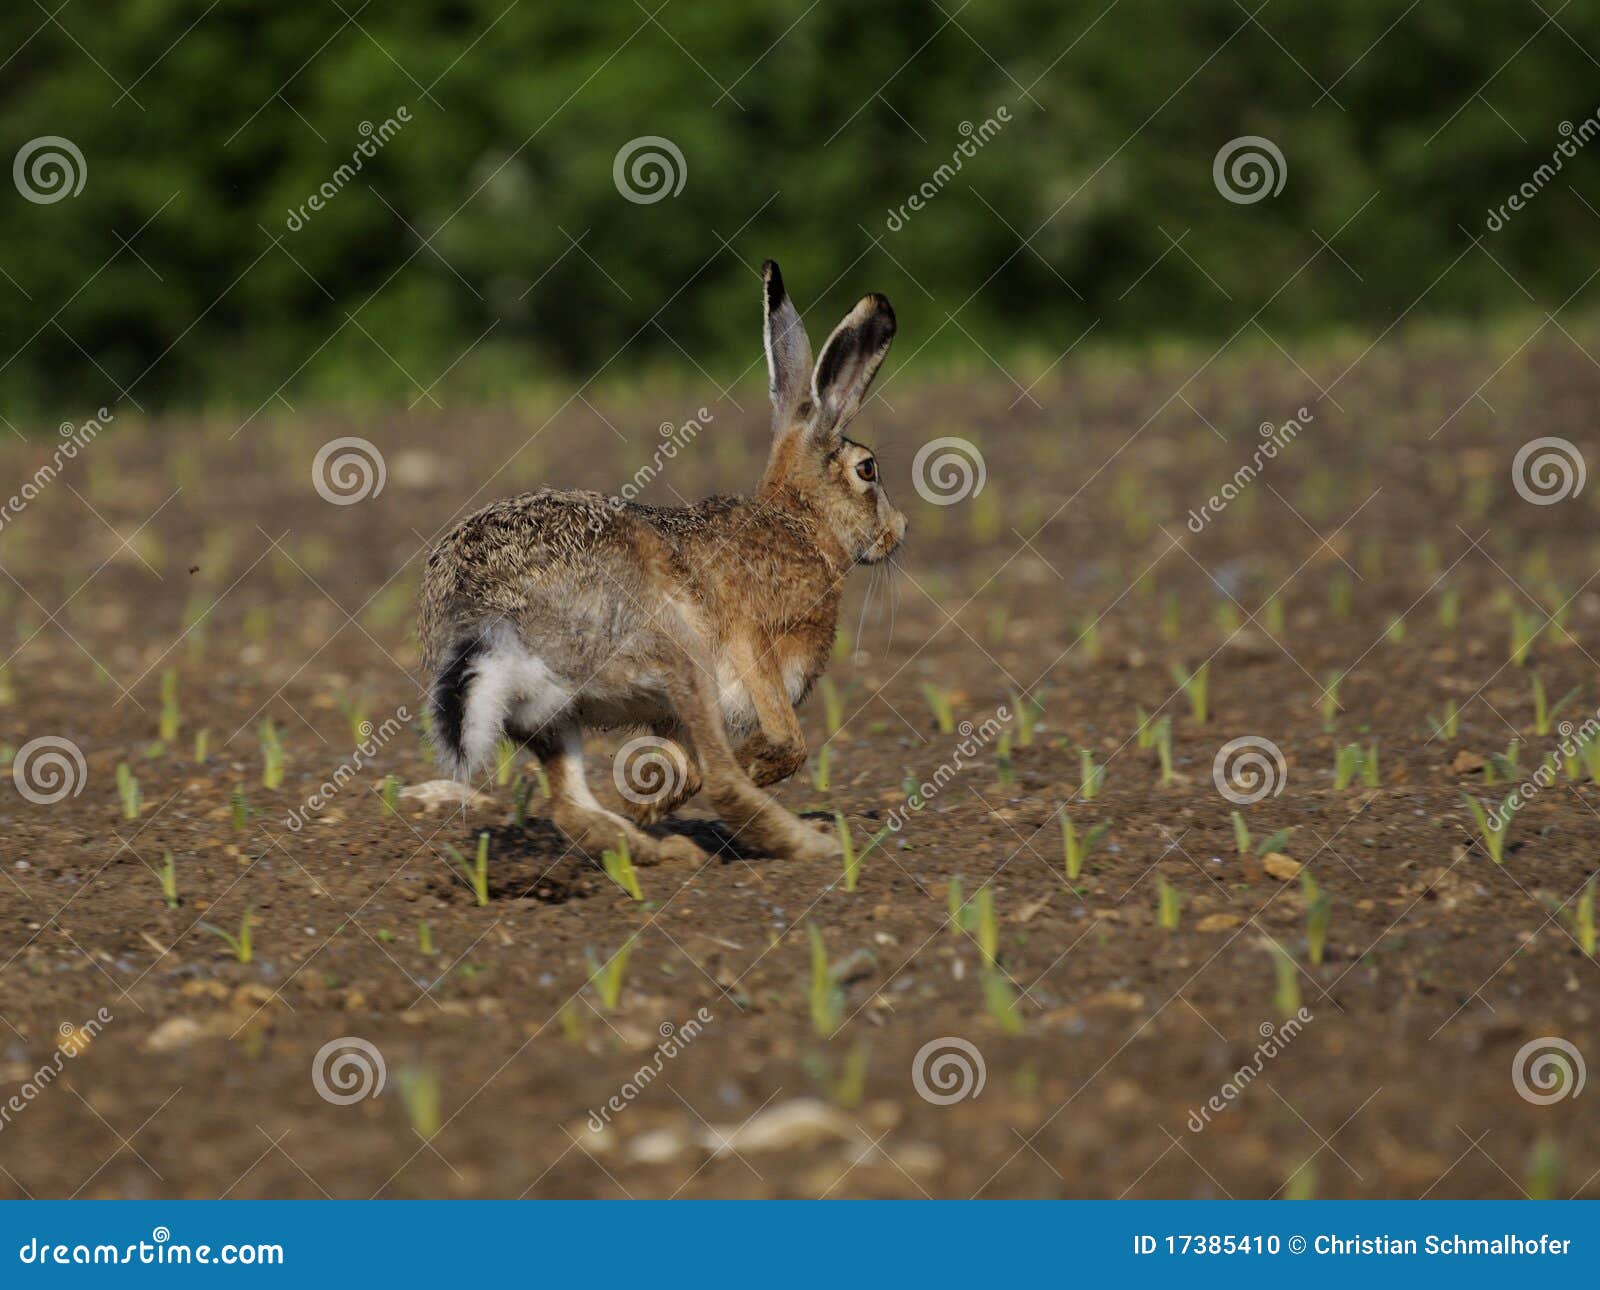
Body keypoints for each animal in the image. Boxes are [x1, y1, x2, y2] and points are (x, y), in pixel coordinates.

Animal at [418, 260, 904, 865]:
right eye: (868, 470)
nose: (897, 532)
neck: (800, 523)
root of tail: (485, 617)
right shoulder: (753, 644)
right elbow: (785, 742)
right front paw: (736, 774)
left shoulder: (667, 715)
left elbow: (679, 769)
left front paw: (650, 804)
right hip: (676, 648)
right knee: (722, 781)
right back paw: (817, 846)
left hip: (551, 712)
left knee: (574, 810)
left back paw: (667, 849)